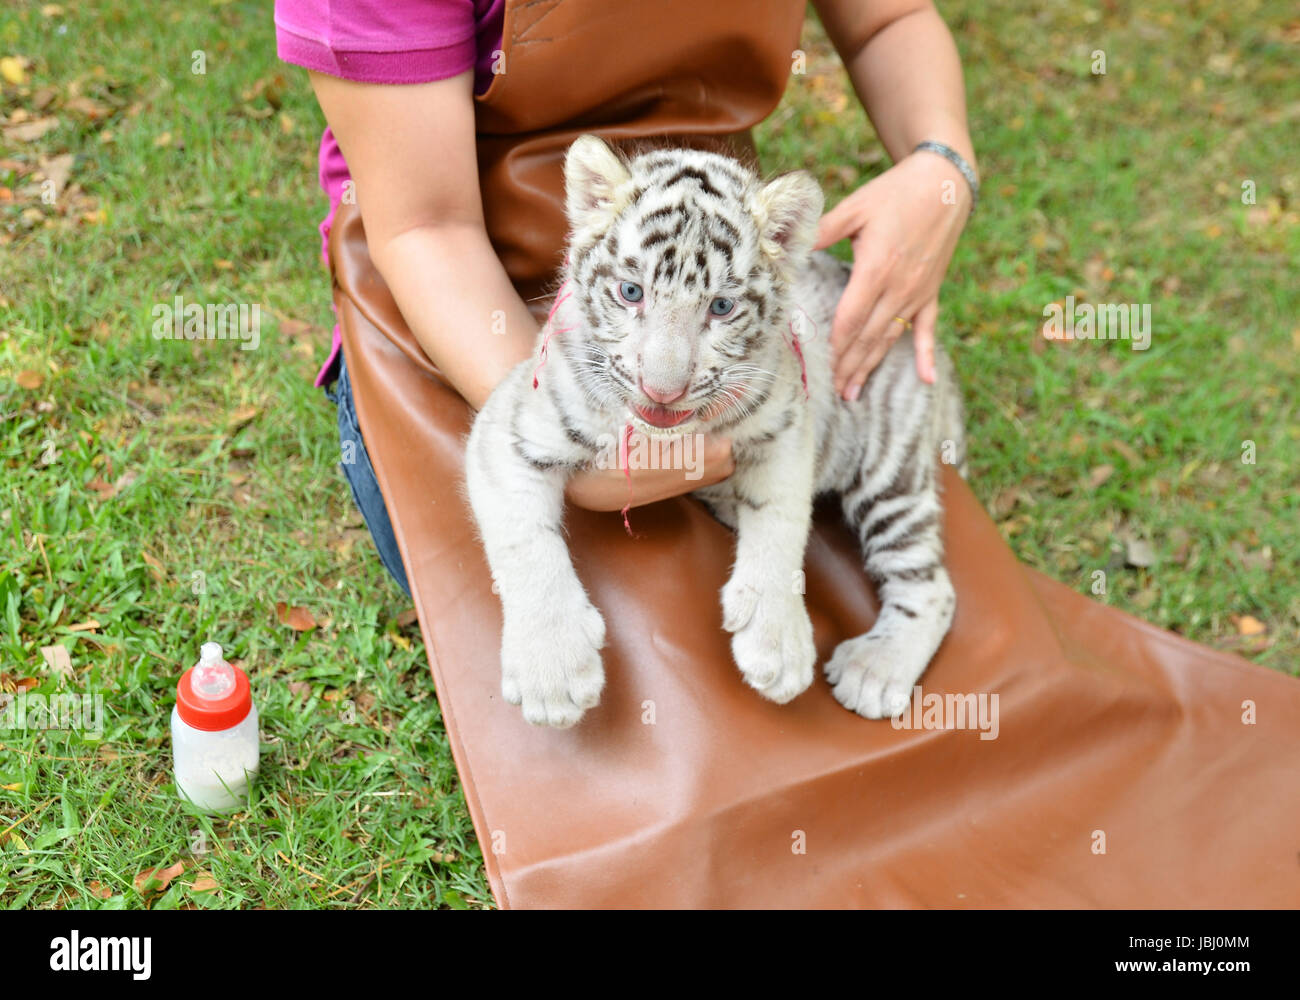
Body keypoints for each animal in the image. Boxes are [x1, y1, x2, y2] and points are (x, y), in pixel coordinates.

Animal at [464, 134, 967, 729]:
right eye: (631, 292)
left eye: (721, 307)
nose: (662, 392)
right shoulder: (509, 432)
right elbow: (526, 546)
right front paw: (553, 669)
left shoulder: (787, 428)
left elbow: (780, 529)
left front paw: (776, 642)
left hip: (889, 466)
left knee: (934, 588)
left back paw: (875, 670)